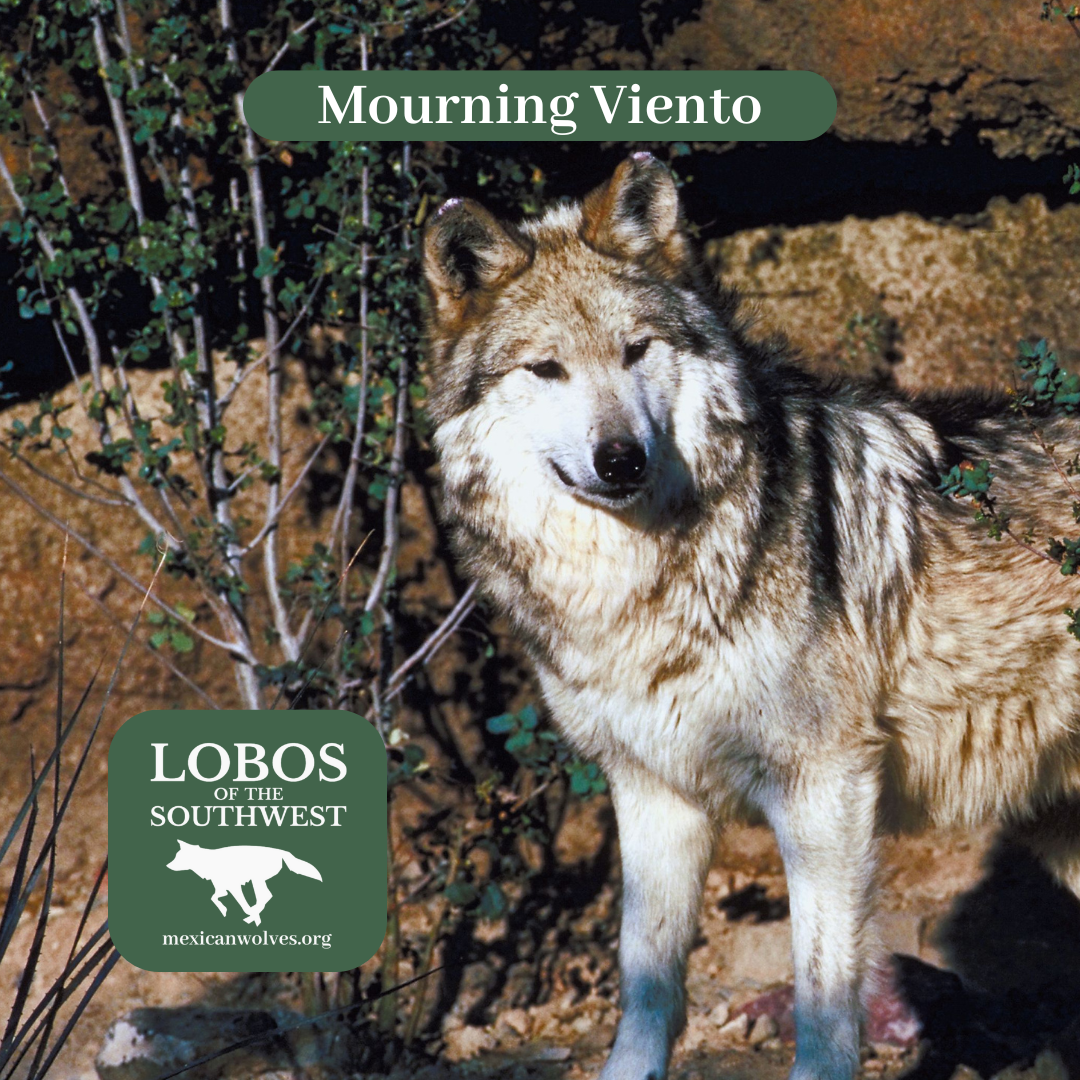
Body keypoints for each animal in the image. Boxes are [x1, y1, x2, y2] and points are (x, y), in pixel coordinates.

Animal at [166, 839, 322, 927]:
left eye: (178, 857)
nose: (167, 866)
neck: (207, 863)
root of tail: (282, 851)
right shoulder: (222, 889)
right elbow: (213, 898)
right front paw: (224, 910)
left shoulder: (234, 887)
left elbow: (243, 905)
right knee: (266, 896)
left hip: (256, 880)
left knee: (265, 896)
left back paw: (251, 916)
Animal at [422, 153, 1080, 1080]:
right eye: (545, 368)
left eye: (637, 350)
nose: (620, 459)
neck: (639, 585)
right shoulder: (652, 791)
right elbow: (648, 982)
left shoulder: (825, 788)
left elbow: (824, 1001)